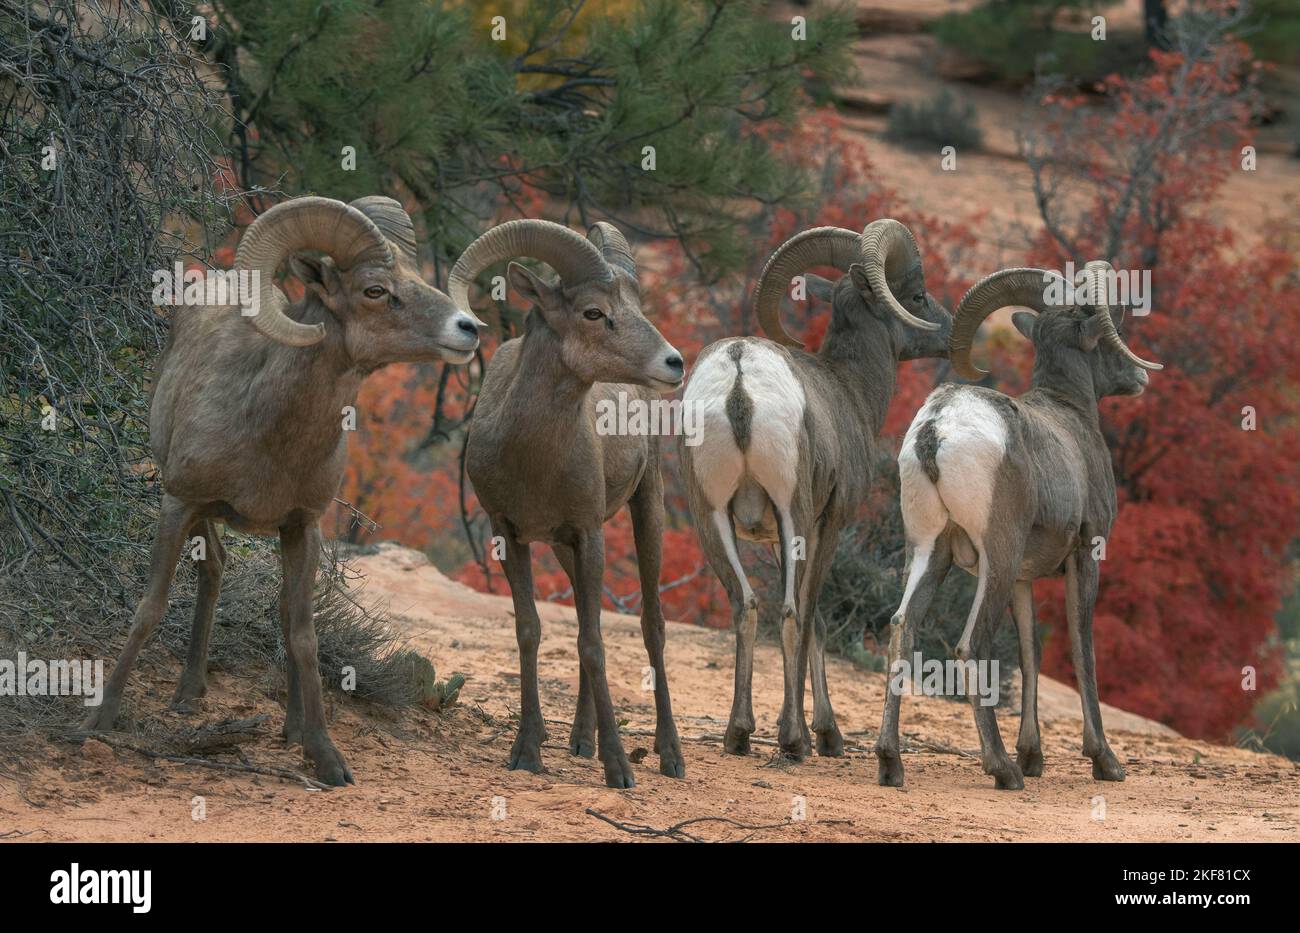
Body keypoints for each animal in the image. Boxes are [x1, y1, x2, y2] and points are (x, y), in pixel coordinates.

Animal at [82, 195, 483, 786]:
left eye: (415, 276)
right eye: (375, 290)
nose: (469, 328)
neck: (270, 430)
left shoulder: (302, 526)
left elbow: (302, 634)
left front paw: (324, 756)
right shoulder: (179, 503)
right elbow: (150, 609)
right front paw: (99, 721)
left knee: (257, 593)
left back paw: (276, 721)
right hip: (200, 510)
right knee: (214, 569)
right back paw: (187, 696)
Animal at [448, 219, 687, 789]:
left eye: (637, 305)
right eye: (593, 312)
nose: (674, 362)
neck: (532, 459)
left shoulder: (589, 532)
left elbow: (594, 642)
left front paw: (619, 768)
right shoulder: (510, 533)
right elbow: (531, 631)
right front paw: (527, 751)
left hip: (647, 507)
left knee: (651, 624)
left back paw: (669, 756)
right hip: (562, 547)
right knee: (583, 611)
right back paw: (580, 741)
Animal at [679, 220, 953, 760]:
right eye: (916, 295)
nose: (950, 330)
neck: (849, 391)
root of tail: (739, 375)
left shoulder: (767, 533)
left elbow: (814, 622)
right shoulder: (829, 521)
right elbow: (812, 619)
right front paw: (827, 735)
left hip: (711, 519)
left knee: (745, 603)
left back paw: (738, 733)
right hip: (795, 514)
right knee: (790, 613)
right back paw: (793, 739)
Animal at [875, 260, 1162, 790]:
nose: (1137, 378)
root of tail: (936, 429)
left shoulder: (1025, 580)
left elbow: (1031, 653)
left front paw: (1034, 755)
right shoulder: (1084, 556)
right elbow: (1082, 649)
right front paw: (1104, 761)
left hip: (929, 552)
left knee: (902, 627)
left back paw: (891, 763)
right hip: (997, 559)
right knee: (971, 644)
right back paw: (1003, 770)